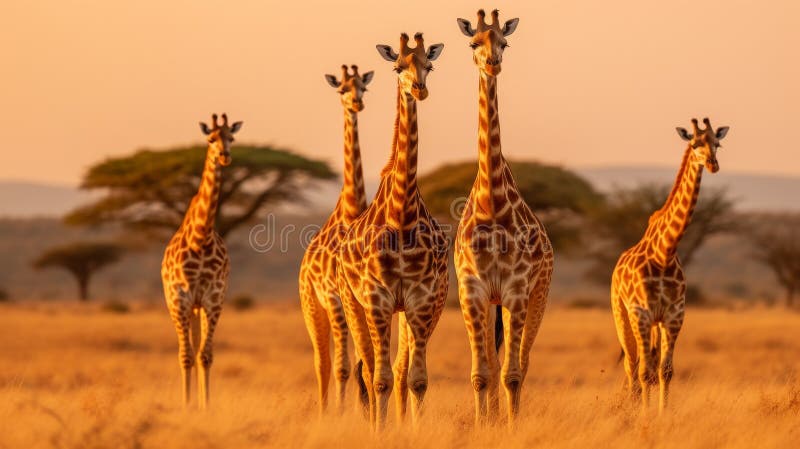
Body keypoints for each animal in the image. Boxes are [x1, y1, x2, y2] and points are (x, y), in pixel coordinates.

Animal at [161, 113, 242, 409]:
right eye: (211, 138)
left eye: (232, 137)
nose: (224, 156)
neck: (200, 236)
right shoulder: (181, 298)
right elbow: (186, 355)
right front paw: (187, 406)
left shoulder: (214, 297)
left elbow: (205, 355)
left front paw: (205, 406)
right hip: (181, 305)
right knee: (189, 349)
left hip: (199, 307)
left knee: (198, 349)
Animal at [337, 32, 447, 431]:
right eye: (398, 67)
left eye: (429, 65)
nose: (419, 89)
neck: (402, 216)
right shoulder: (377, 298)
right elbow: (380, 378)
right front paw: (380, 432)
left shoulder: (420, 300)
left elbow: (416, 379)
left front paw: (412, 430)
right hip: (352, 304)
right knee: (368, 370)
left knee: (398, 369)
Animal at [611, 118, 729, 413]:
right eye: (695, 143)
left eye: (717, 143)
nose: (712, 164)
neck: (664, 251)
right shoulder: (641, 313)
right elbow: (644, 372)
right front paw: (645, 416)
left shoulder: (674, 315)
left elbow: (665, 371)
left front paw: (662, 415)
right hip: (622, 316)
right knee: (632, 366)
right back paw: (632, 409)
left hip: (654, 324)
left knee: (649, 366)